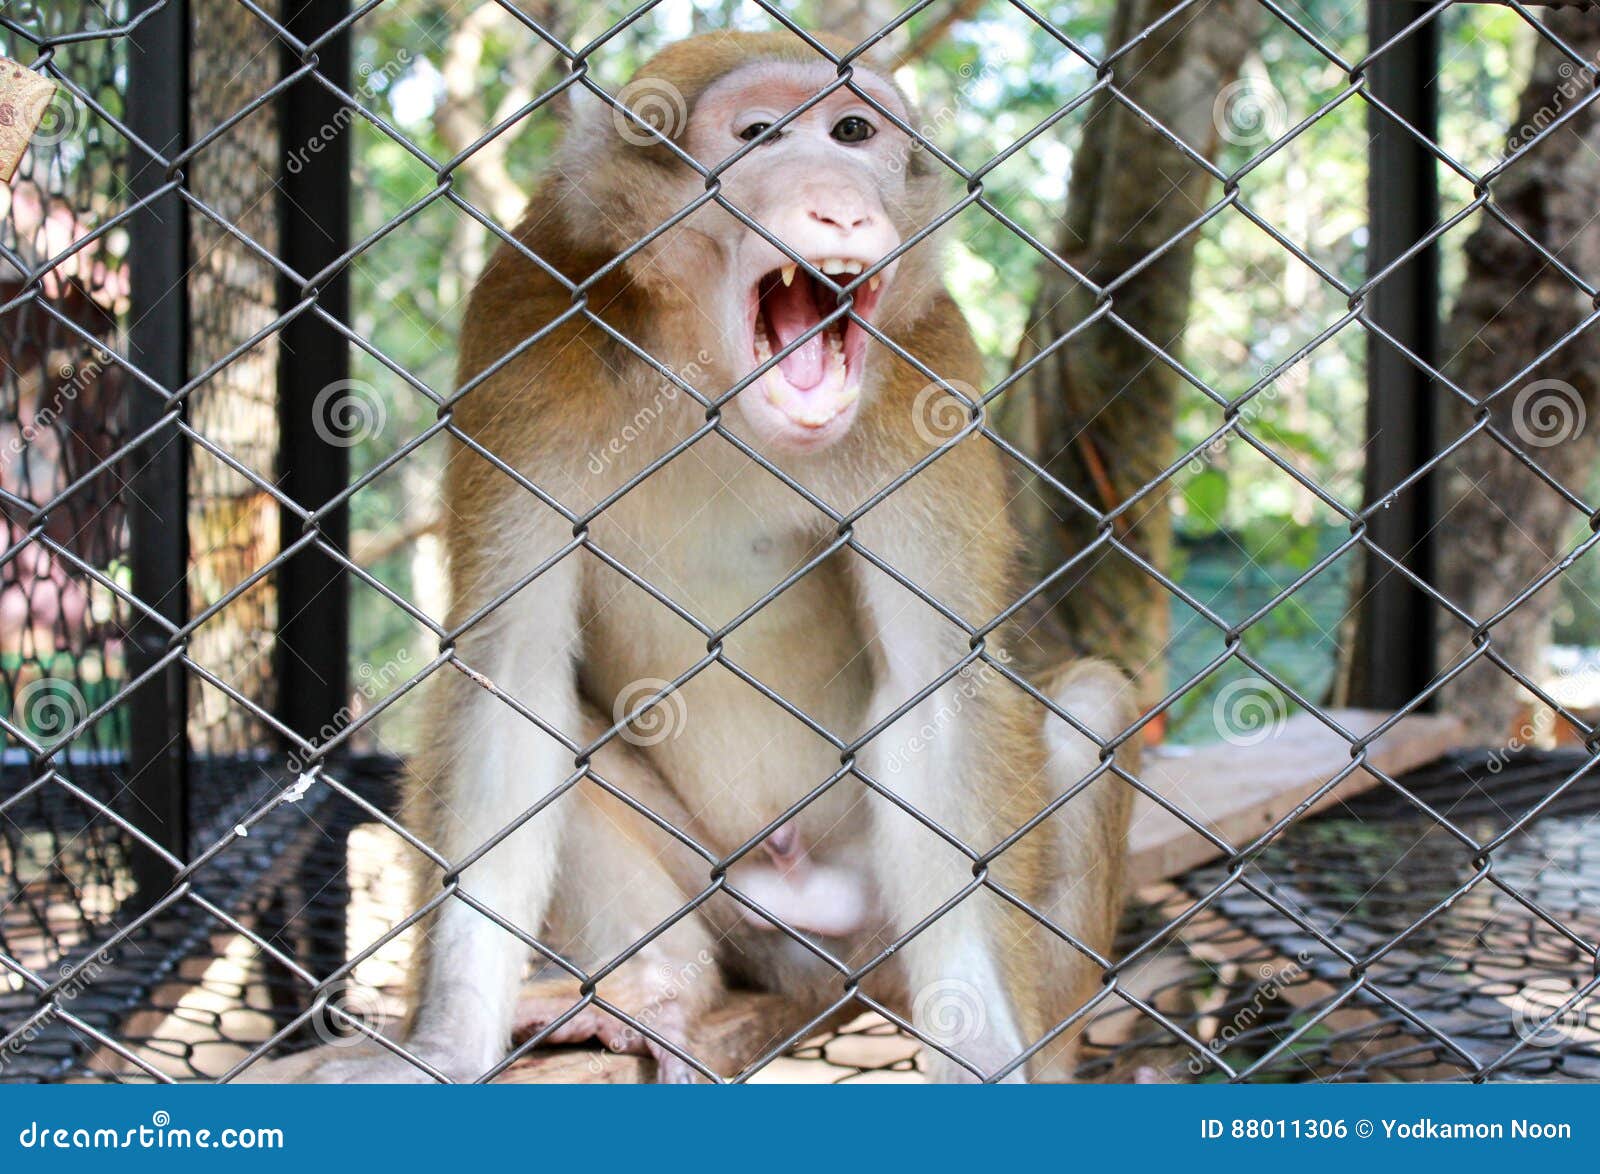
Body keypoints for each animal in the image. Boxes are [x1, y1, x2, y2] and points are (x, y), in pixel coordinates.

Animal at [297, 31, 1136, 1085]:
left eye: (852, 132)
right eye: (760, 133)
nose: (841, 204)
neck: (711, 382)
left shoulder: (928, 376)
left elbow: (939, 686)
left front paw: (980, 1043)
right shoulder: (525, 338)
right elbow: (509, 679)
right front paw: (444, 1046)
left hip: (880, 930)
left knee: (1086, 712)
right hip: (729, 900)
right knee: (570, 739)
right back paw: (657, 992)